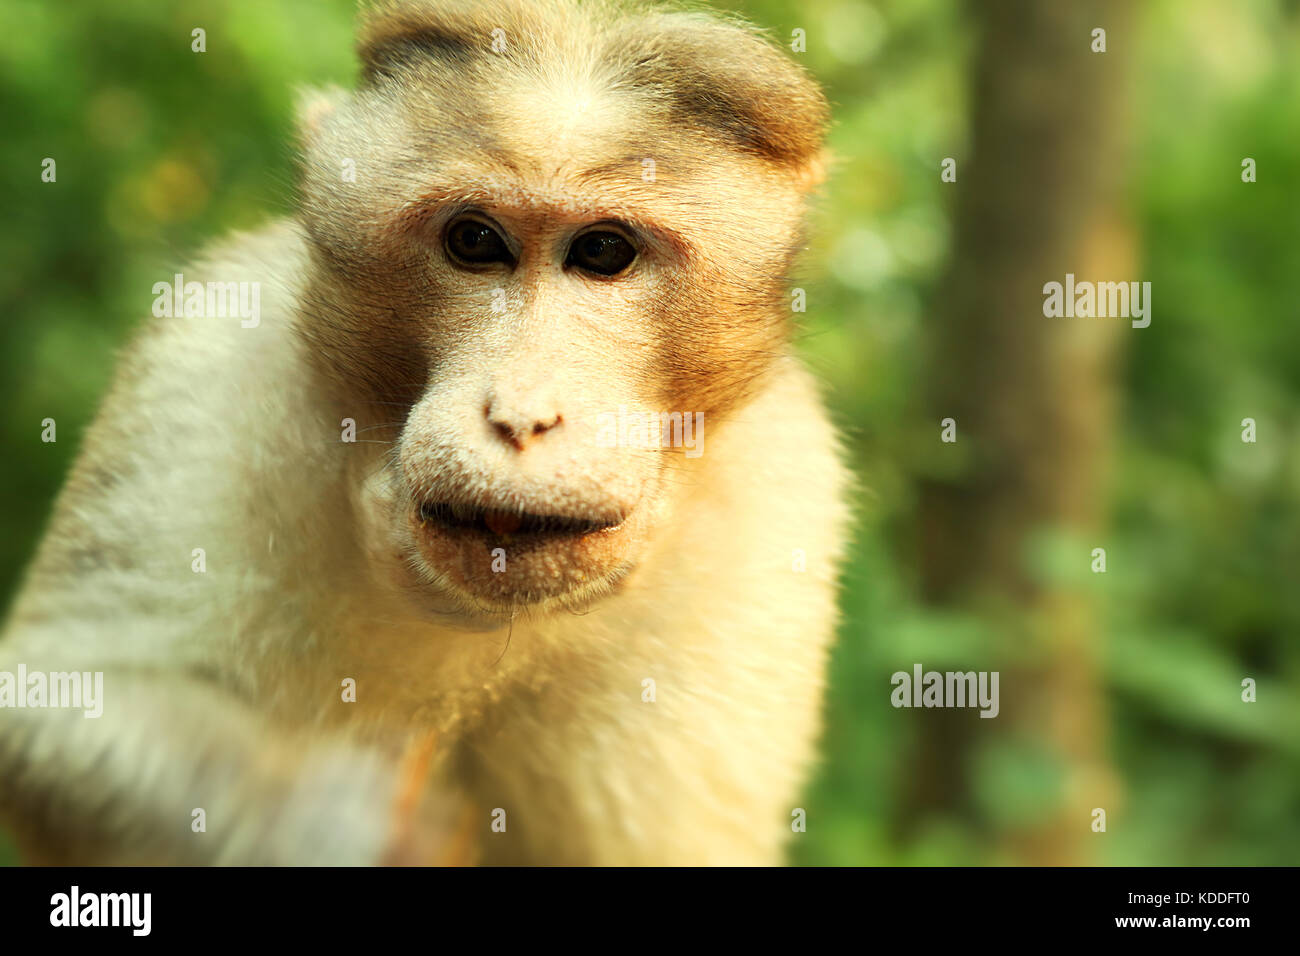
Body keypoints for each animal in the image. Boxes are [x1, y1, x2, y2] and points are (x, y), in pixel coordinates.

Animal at [0, 0, 848, 865]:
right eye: (474, 241)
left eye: (604, 251)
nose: (521, 415)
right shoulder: (206, 375)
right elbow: (56, 699)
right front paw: (325, 816)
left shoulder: (774, 513)